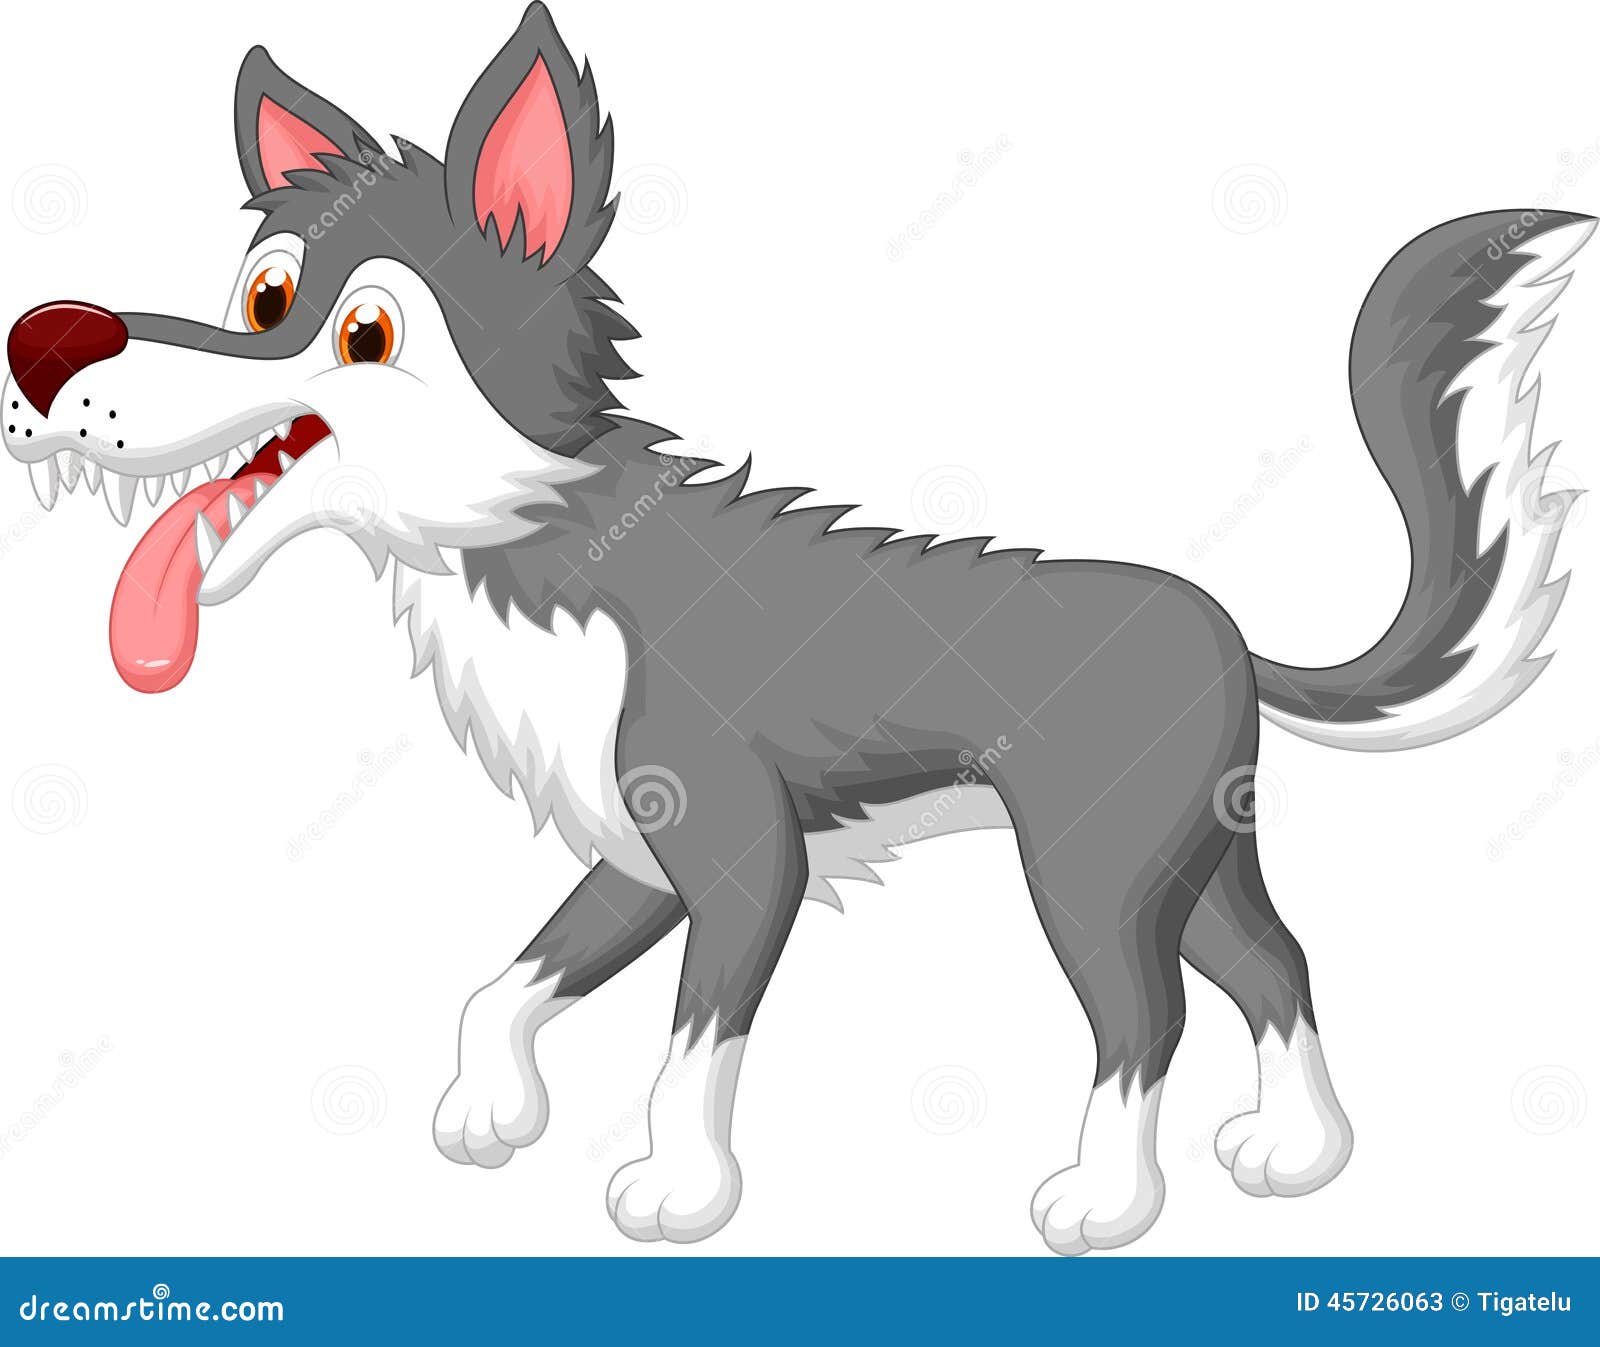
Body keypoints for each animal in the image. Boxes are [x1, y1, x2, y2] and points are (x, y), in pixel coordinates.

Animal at [2, 4, 1589, 1254]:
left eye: (356, 332)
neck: (535, 542)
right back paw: (1302, 1157)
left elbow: (692, 1040)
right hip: (1182, 858)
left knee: (1146, 1022)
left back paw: (1104, 1201)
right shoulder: (634, 853)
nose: (45, 341)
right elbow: (502, 983)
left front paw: (681, 1192)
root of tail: (1221, 619)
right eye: (260, 293)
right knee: (1280, 966)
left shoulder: (741, 856)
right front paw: (492, 1108)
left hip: (1087, 871)